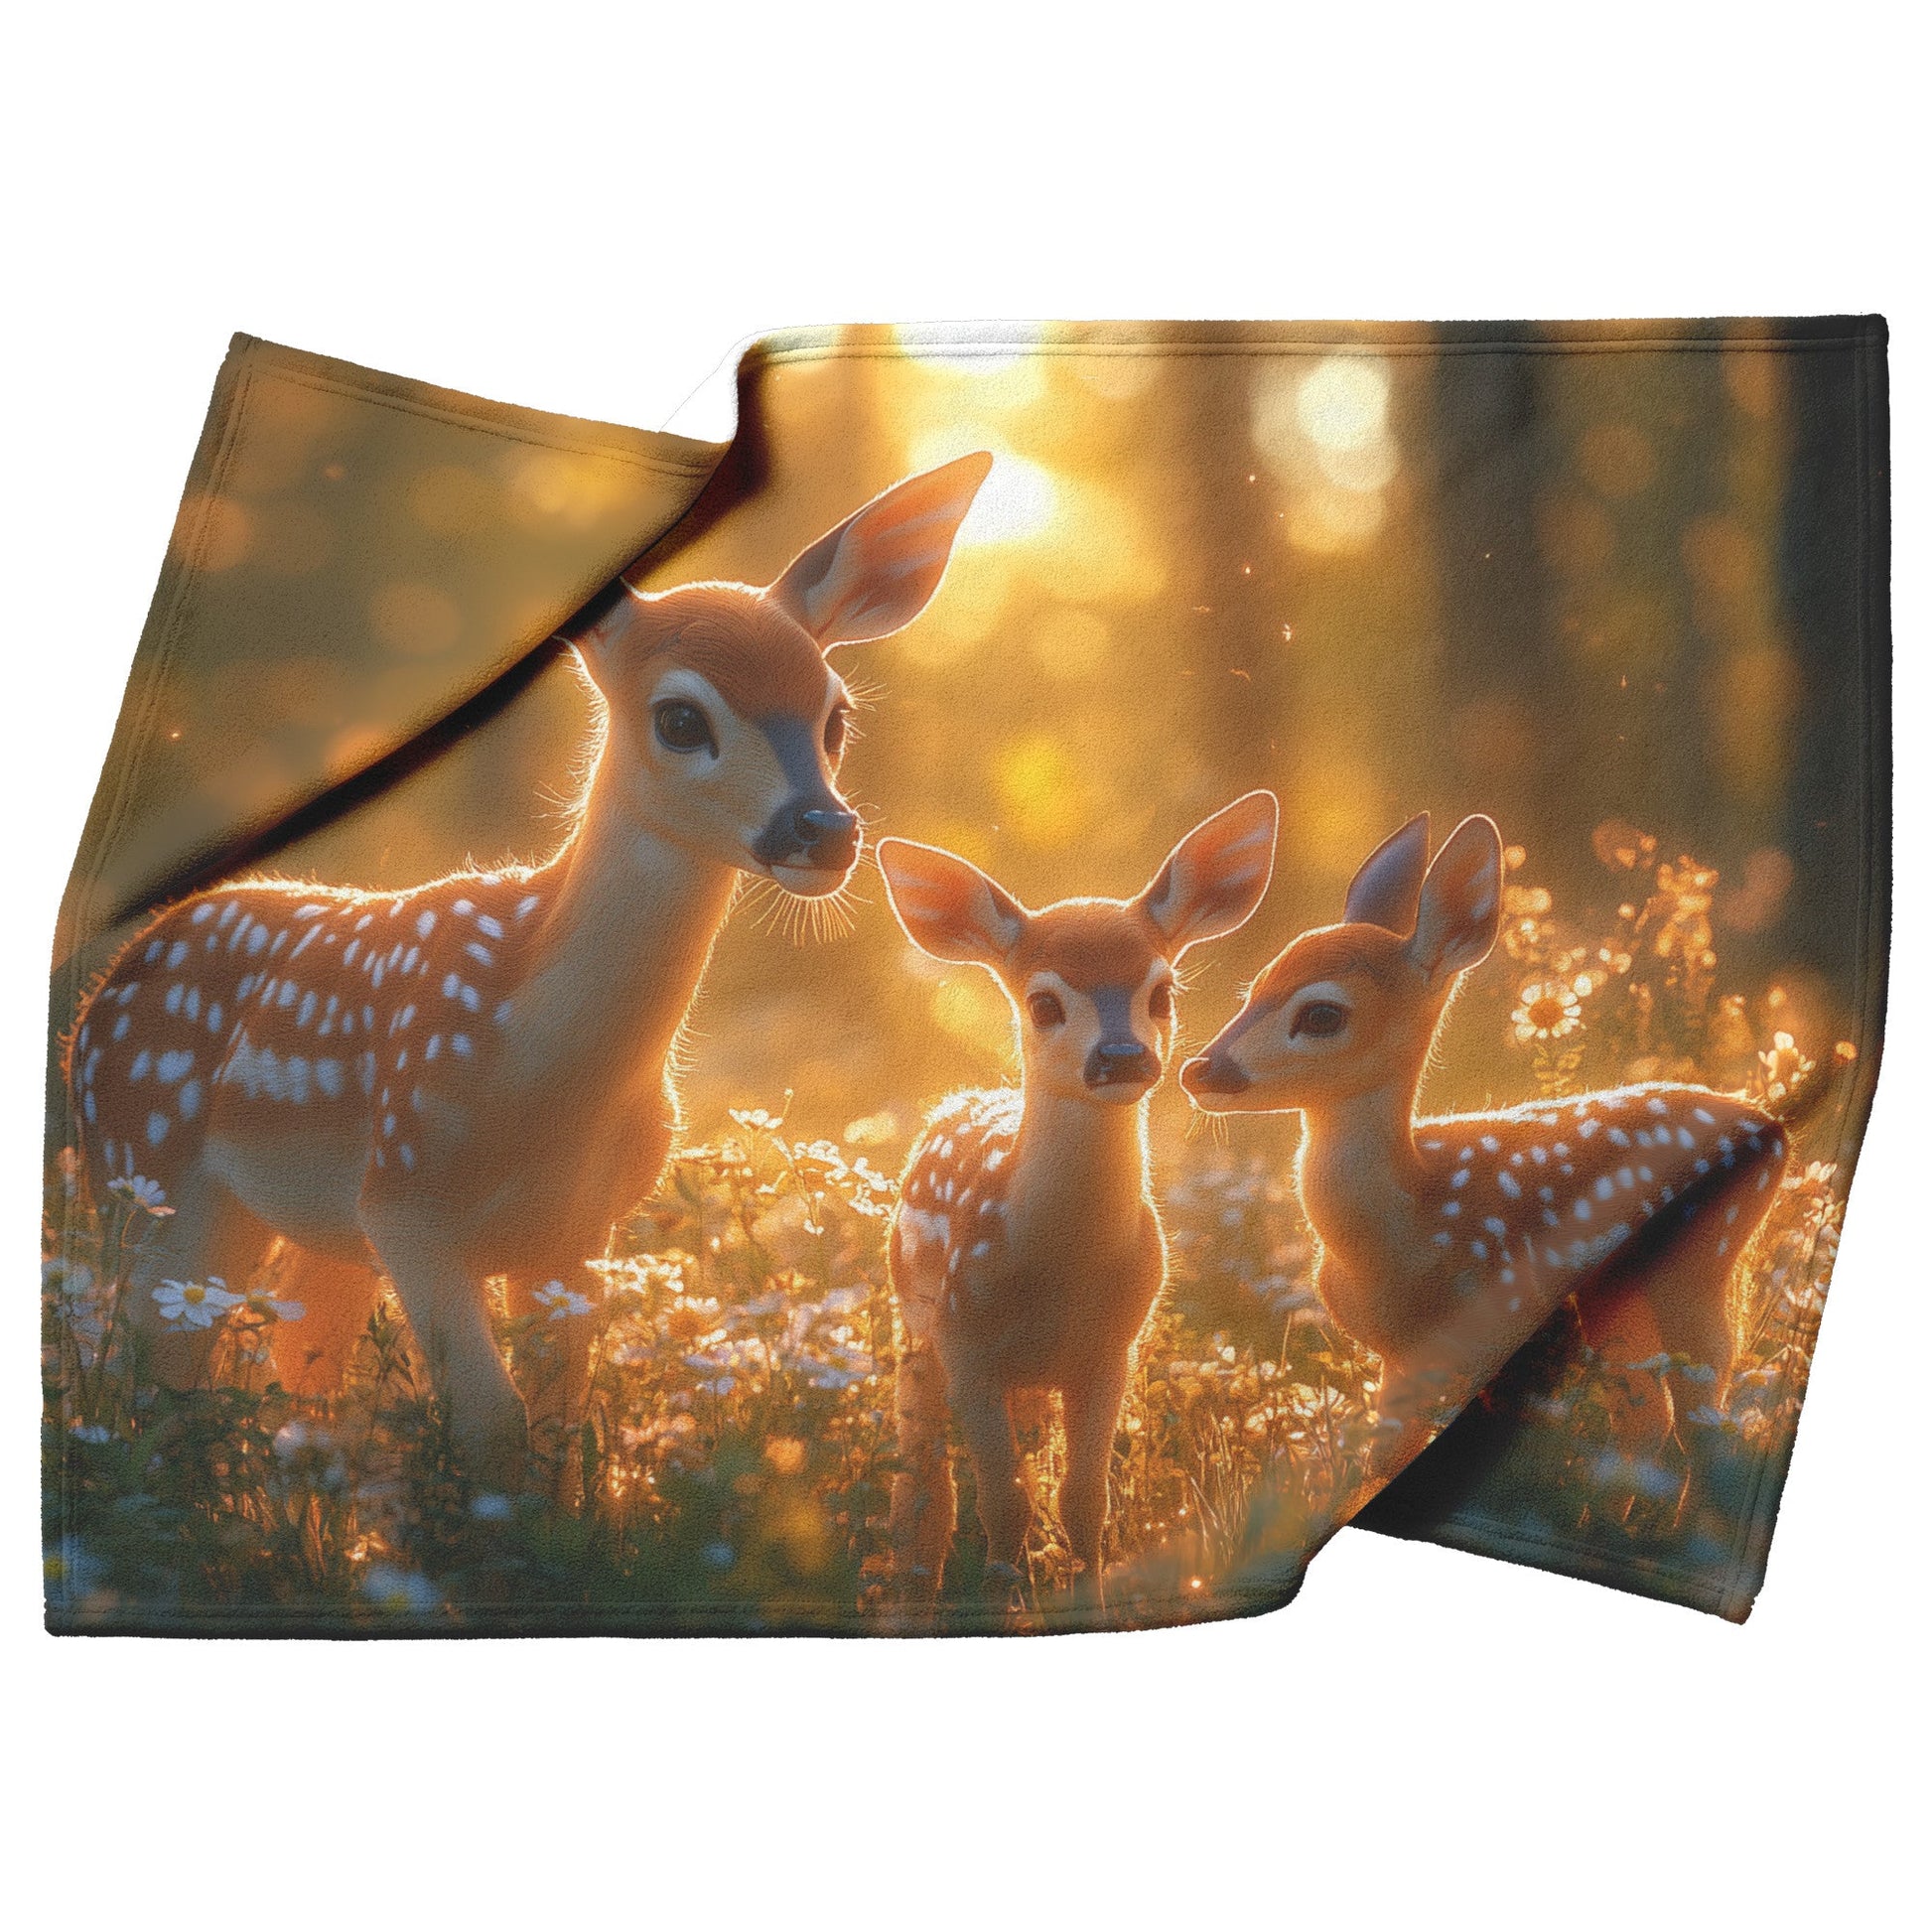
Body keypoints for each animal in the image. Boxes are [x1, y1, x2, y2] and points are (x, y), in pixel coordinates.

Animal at [62, 452, 993, 1487]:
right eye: (680, 717)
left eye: (836, 715)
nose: (823, 830)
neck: (540, 1069)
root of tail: (104, 991)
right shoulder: (408, 1195)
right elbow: (492, 1426)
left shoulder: (576, 1234)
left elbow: (554, 1434)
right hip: (146, 1176)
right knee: (160, 1386)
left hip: (315, 1232)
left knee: (291, 1389)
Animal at [876, 790, 1279, 1617]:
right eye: (1043, 1002)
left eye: (1161, 992)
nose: (1121, 1056)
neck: (1058, 1270)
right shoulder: (966, 1343)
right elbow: (1004, 1505)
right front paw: (1000, 1607)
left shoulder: (1108, 1349)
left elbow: (1083, 1501)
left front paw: (1087, 1601)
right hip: (913, 1328)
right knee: (923, 1487)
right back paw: (911, 1601)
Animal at [1179, 812, 1792, 1455]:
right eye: (1255, 986)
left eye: (1322, 1014)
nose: (1200, 1071)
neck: (1409, 1223)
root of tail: (1774, 1130)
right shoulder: (1403, 1360)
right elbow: (1377, 1458)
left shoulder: (1493, 1328)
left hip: (1693, 1275)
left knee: (1685, 1422)